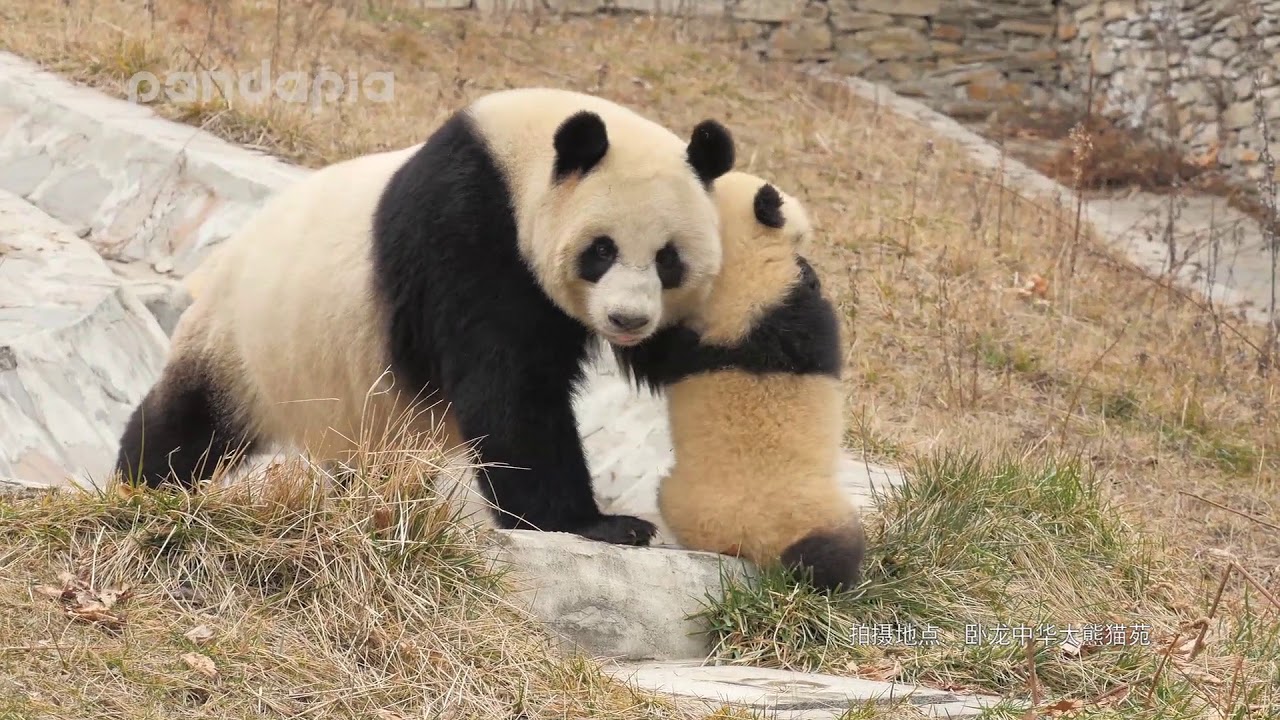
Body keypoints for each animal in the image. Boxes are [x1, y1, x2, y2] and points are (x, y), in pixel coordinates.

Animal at [113, 87, 736, 547]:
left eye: (668, 258)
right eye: (601, 250)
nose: (628, 319)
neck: (520, 161)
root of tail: (217, 264)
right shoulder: (467, 235)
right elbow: (509, 389)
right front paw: (596, 524)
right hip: (245, 346)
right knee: (188, 424)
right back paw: (141, 487)